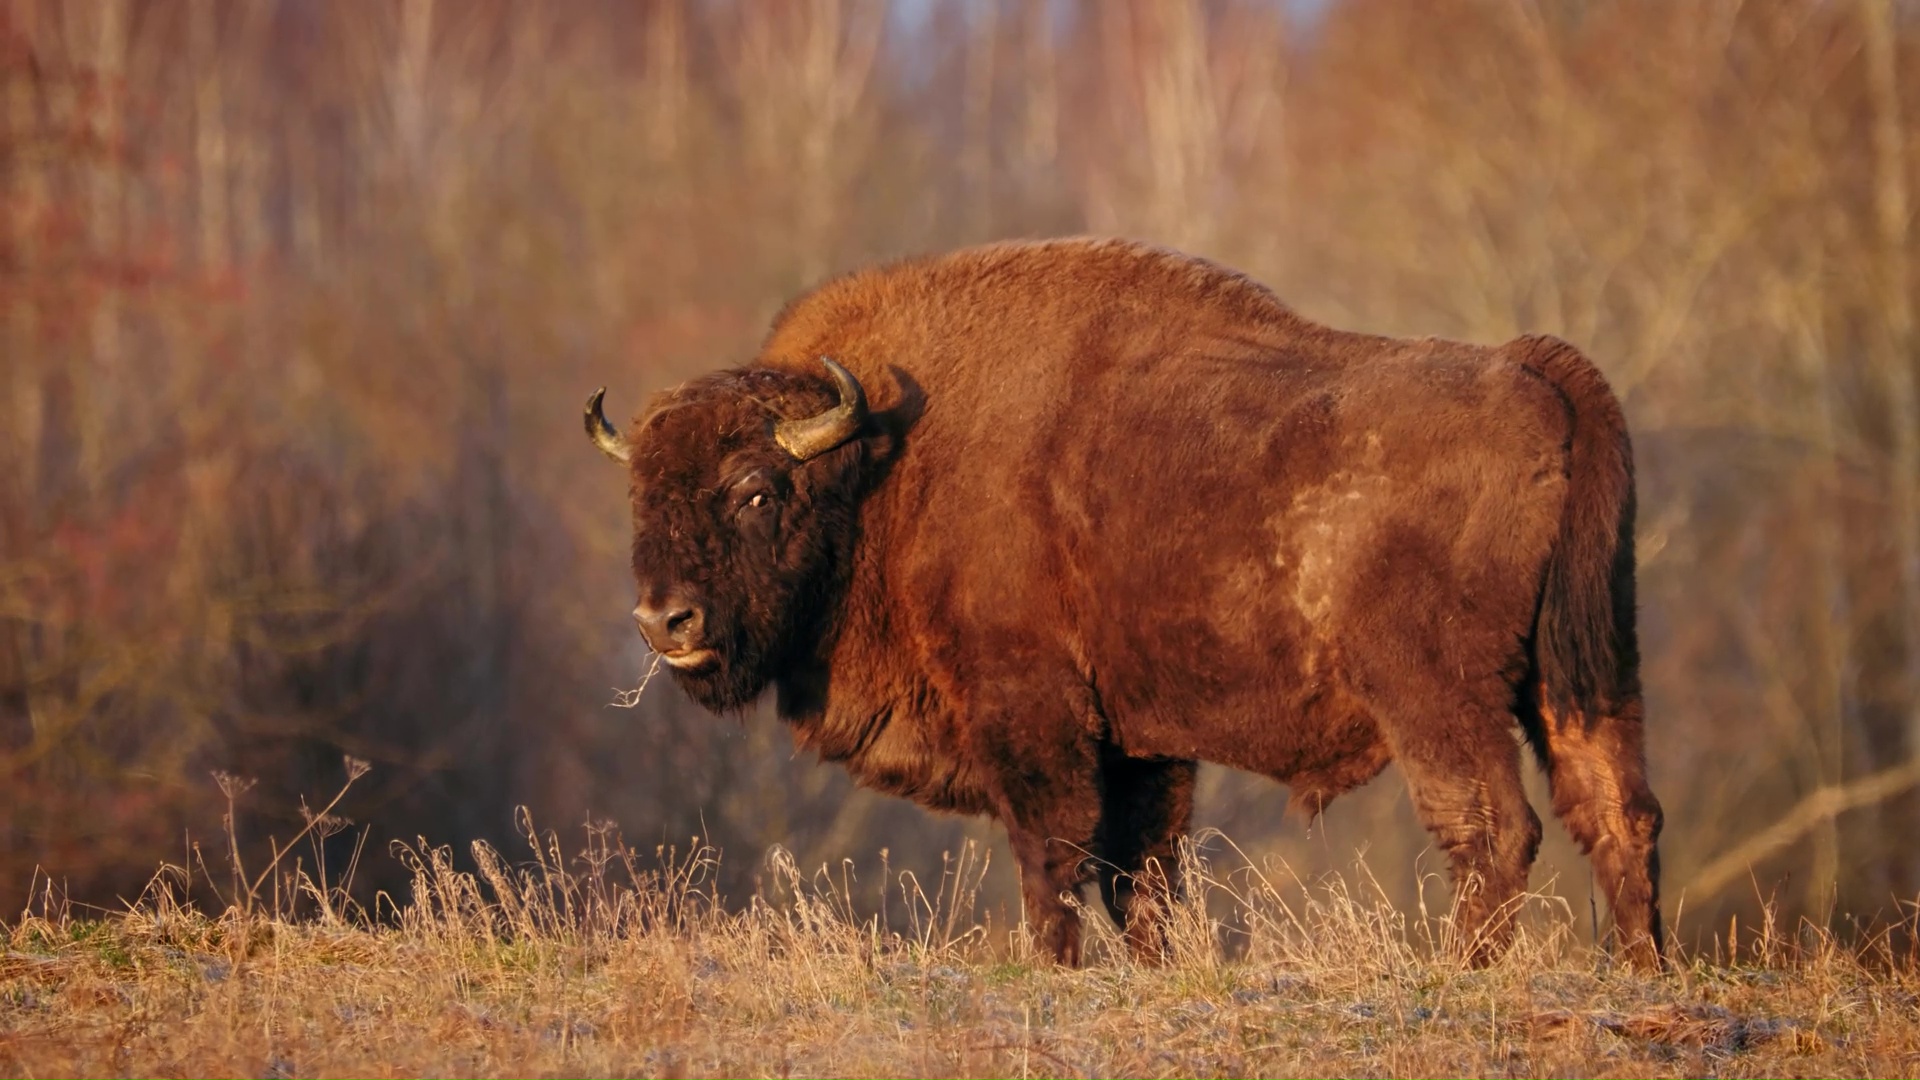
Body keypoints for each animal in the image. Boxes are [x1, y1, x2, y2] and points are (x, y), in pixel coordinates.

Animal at [586, 238, 1664, 968]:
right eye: (639, 492)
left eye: (756, 490)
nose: (664, 622)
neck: (886, 468)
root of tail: (1529, 371)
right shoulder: (1142, 742)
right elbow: (1139, 873)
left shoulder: (1031, 711)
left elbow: (1053, 851)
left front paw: (1054, 970)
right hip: (1584, 674)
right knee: (1618, 809)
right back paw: (1642, 970)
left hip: (1439, 697)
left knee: (1493, 827)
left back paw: (1460, 975)